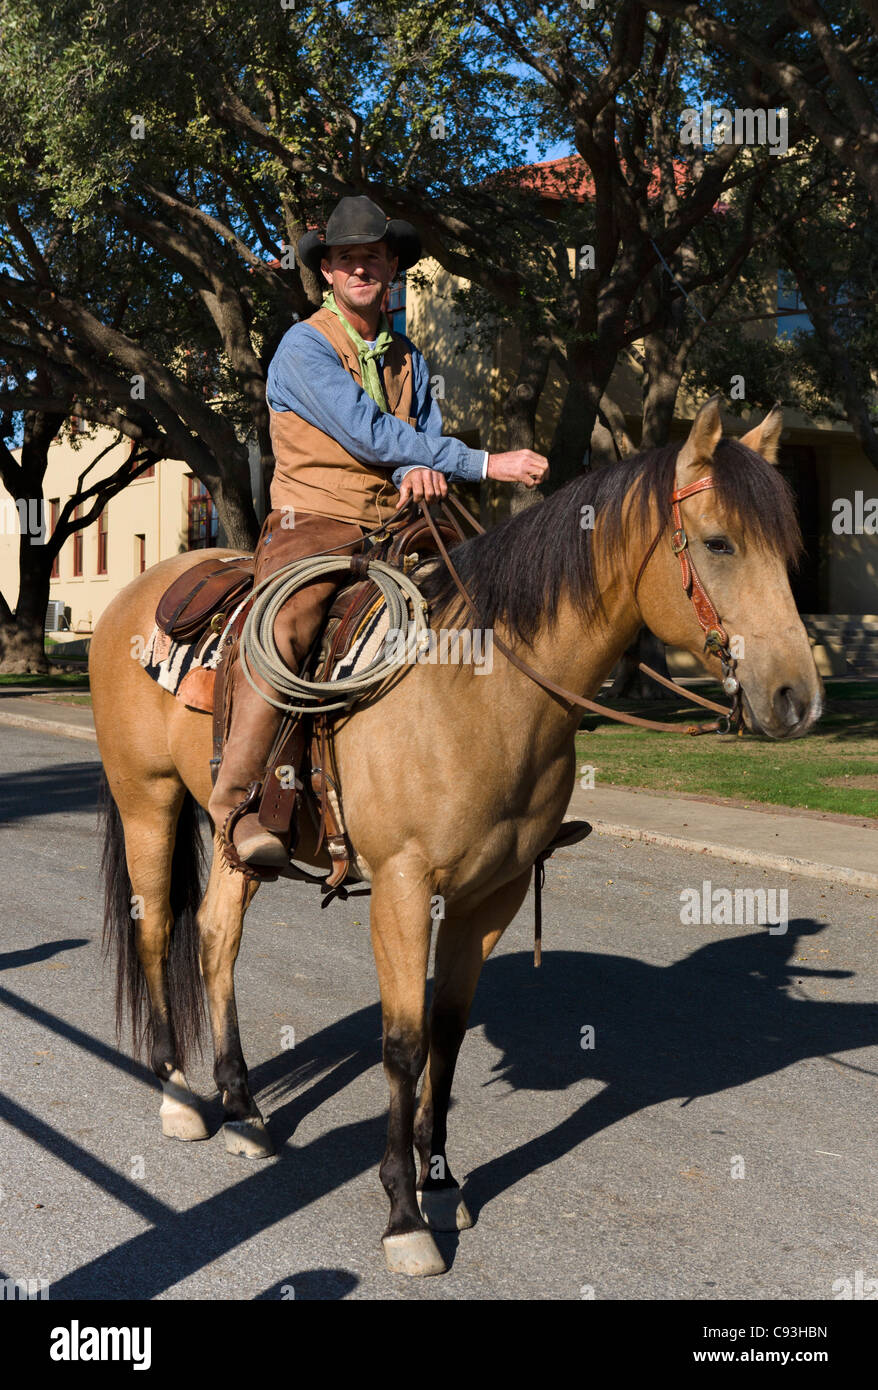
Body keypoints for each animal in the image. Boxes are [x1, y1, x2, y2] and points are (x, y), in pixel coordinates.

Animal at [89, 400, 822, 1277]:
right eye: (718, 543)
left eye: (787, 548)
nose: (798, 698)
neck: (484, 689)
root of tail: (137, 594)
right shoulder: (402, 888)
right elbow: (404, 1045)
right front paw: (403, 1215)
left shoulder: (489, 895)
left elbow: (445, 1035)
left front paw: (439, 1182)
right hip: (148, 799)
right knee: (157, 929)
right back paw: (178, 1095)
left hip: (236, 837)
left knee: (215, 935)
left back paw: (243, 1107)